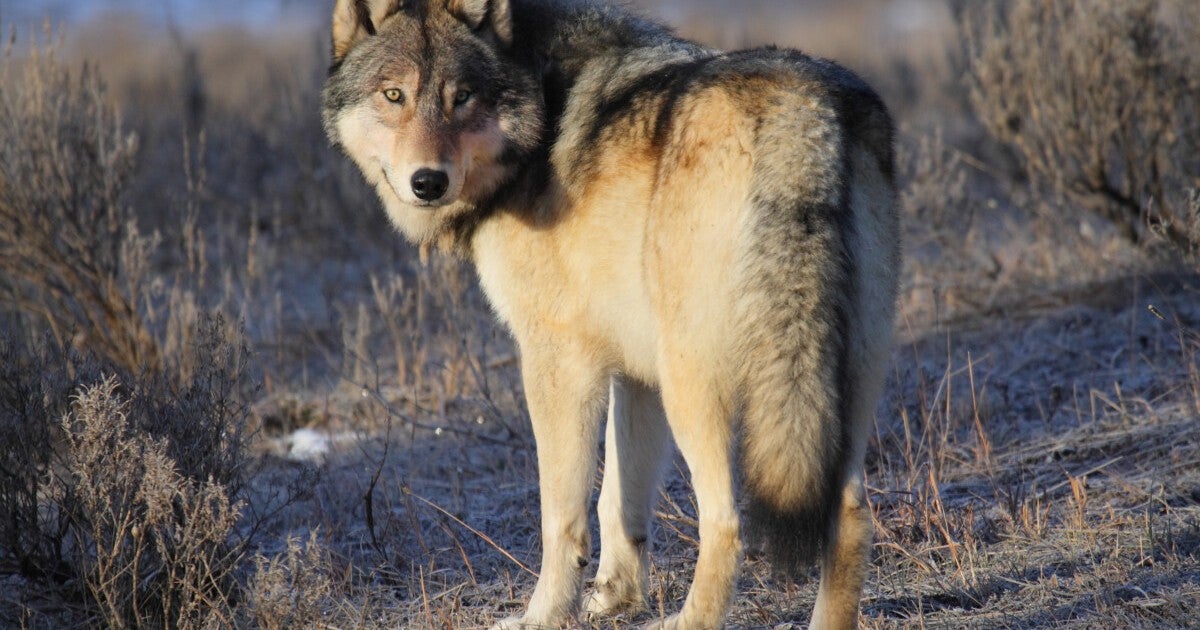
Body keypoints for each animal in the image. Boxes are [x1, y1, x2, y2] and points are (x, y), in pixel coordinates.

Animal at [323, 0, 899, 627]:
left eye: (463, 97)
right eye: (394, 95)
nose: (428, 181)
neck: (543, 104)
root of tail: (801, 111)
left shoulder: (556, 359)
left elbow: (562, 514)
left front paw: (544, 615)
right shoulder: (633, 372)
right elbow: (618, 502)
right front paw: (615, 598)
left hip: (693, 386)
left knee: (726, 522)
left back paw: (688, 620)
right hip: (841, 387)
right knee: (850, 513)